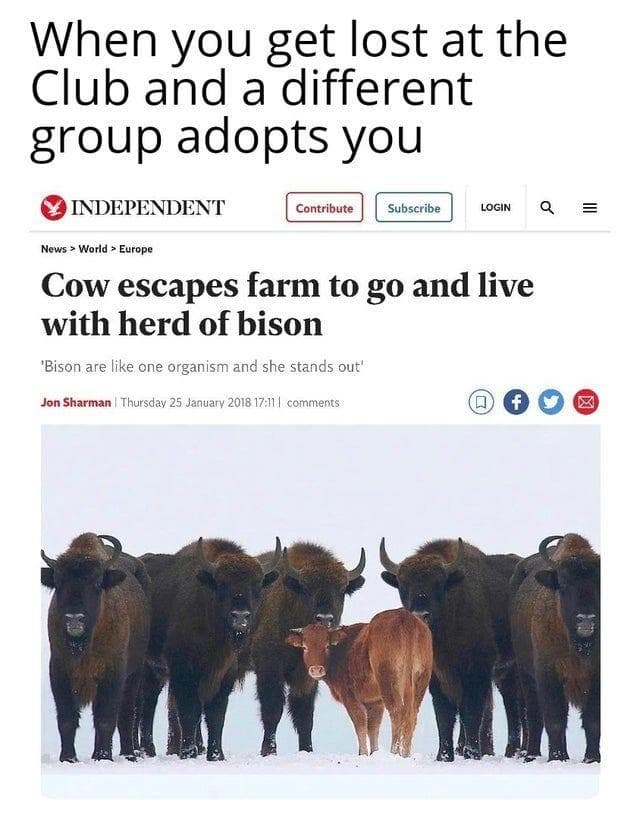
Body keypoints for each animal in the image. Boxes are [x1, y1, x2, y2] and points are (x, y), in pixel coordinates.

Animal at [41, 533, 150, 762]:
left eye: (98, 582)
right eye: (58, 582)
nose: (74, 618)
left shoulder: (114, 673)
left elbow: (106, 719)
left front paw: (103, 757)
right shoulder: (59, 670)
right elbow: (67, 718)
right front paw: (68, 758)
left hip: (134, 674)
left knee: (126, 715)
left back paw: (128, 754)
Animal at [251, 541, 366, 756]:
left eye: (342, 589)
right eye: (306, 588)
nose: (325, 618)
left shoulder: (306, 677)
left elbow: (304, 714)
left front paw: (307, 750)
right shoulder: (269, 668)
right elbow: (273, 709)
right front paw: (269, 751)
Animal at [510, 533, 600, 762]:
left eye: (599, 584)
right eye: (564, 584)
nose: (586, 619)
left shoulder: (596, 676)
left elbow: (593, 720)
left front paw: (592, 758)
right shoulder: (548, 674)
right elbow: (554, 720)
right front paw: (556, 758)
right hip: (526, 675)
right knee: (534, 716)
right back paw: (532, 754)